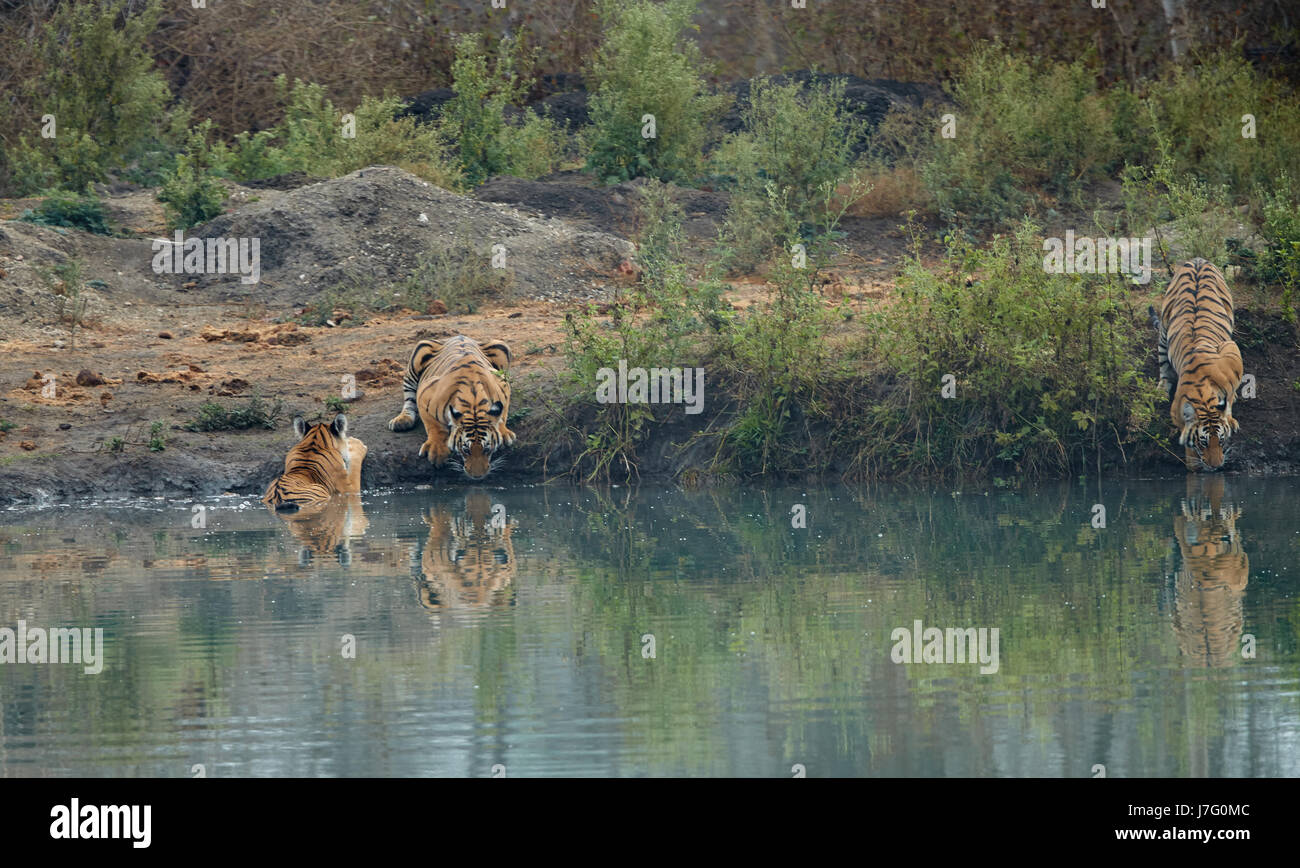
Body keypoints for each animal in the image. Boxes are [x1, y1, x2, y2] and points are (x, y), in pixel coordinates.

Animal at [387, 335, 515, 480]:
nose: (478, 476)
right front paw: (437, 450)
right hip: (418, 355)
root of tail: (459, 336)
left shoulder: (503, 383)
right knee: (409, 397)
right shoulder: (424, 393)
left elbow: (502, 413)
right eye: (465, 450)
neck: (473, 403)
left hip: (501, 346)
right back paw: (402, 421)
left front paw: (504, 433)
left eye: (487, 449)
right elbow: (433, 425)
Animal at [1149, 258, 1243, 471]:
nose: (1216, 466)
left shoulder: (1231, 349)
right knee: (1164, 366)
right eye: (1203, 442)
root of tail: (1197, 260)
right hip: (1164, 330)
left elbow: (1230, 397)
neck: (1203, 394)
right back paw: (1161, 388)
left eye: (1222, 440)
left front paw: (1231, 418)